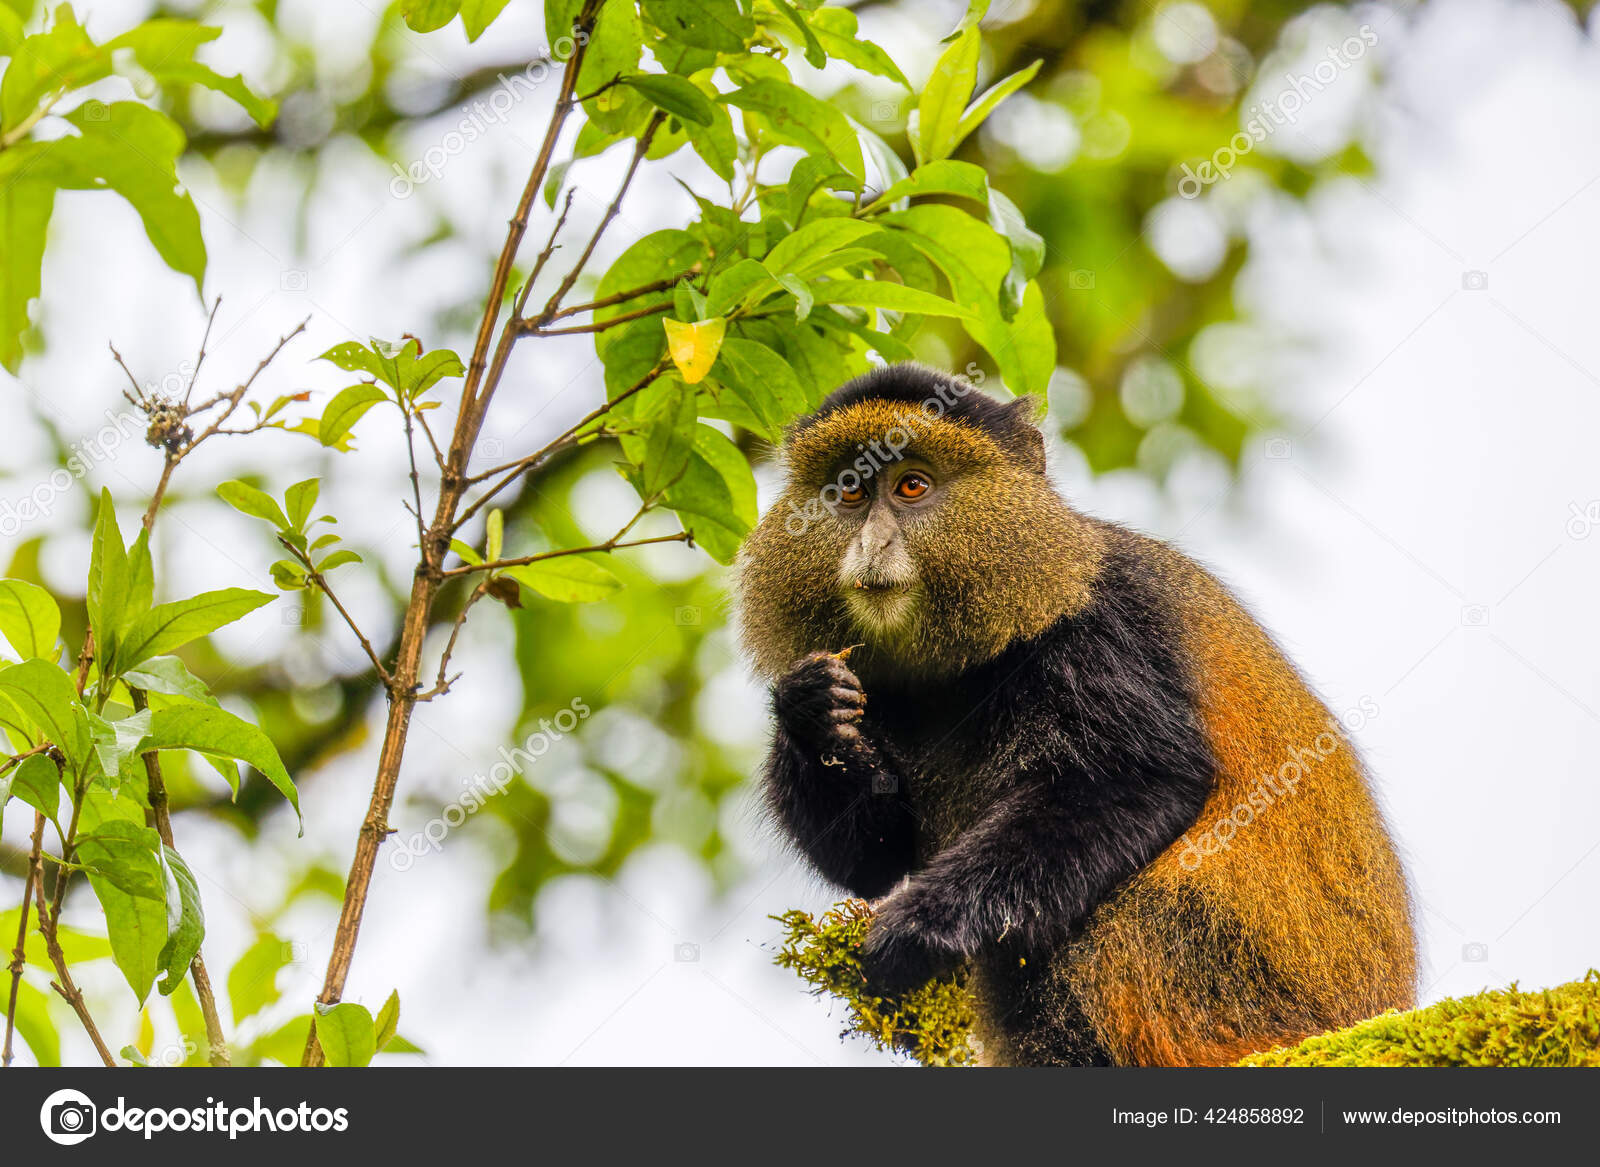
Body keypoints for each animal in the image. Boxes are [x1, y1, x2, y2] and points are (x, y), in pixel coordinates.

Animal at [737, 363, 1416, 1067]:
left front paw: (920, 929)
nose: (871, 542)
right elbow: (874, 858)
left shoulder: (1101, 622)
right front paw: (811, 708)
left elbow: (1134, 778)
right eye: (849, 492)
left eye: (912, 486)